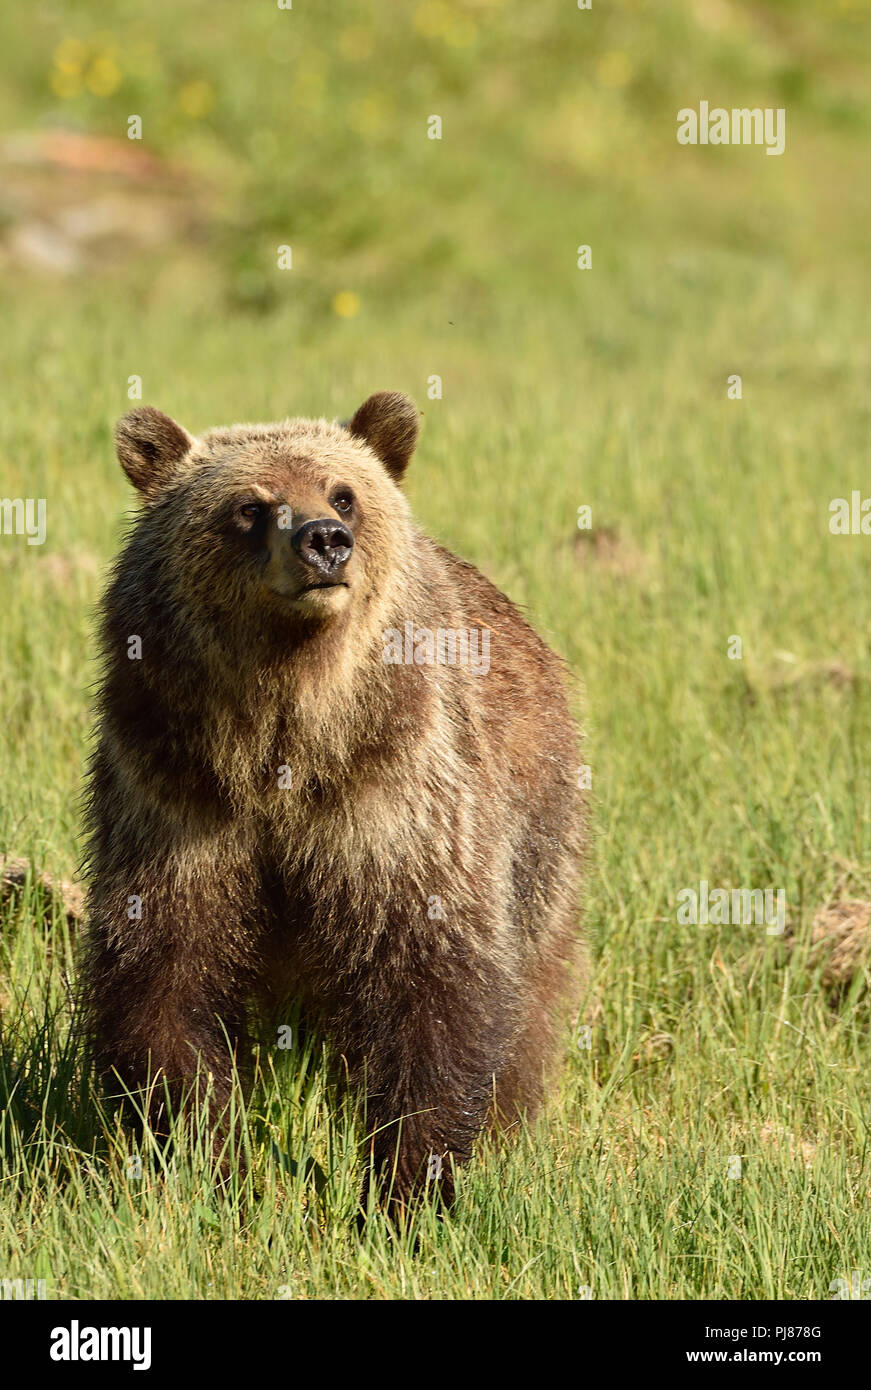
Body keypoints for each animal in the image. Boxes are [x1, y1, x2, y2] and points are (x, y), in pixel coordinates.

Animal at [82, 391, 585, 1211]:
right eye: (250, 506)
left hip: (540, 833)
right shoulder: (172, 793)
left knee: (530, 992)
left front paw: (406, 1188)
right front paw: (218, 1163)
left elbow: (432, 975)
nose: (324, 541)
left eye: (342, 492)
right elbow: (164, 974)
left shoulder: (393, 794)